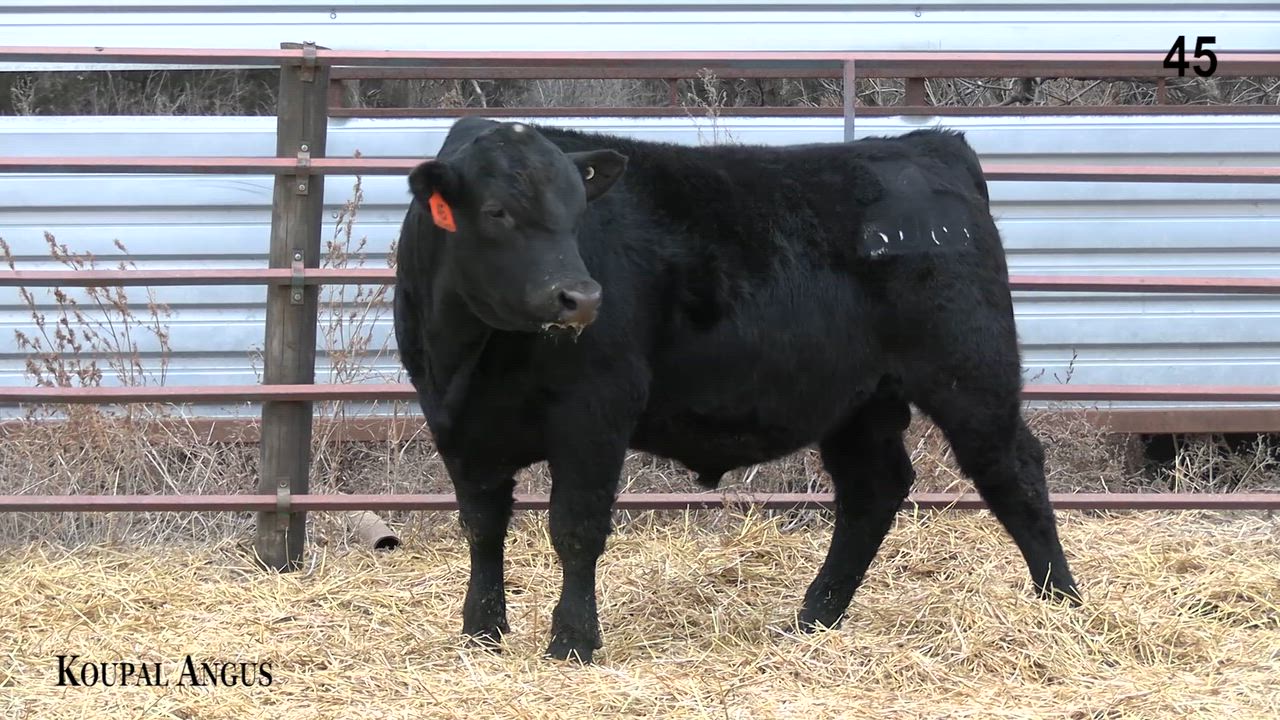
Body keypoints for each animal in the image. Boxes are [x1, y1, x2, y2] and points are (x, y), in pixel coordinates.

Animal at [392, 116, 1082, 663]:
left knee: (1014, 469)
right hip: (859, 401)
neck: (472, 356)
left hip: (969, 371)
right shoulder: (456, 426)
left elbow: (576, 526)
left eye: (576, 213)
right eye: (496, 212)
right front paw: (481, 634)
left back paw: (1063, 602)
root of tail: (930, 144)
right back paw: (813, 618)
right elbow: (483, 527)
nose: (581, 297)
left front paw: (572, 644)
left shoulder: (595, 411)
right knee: (874, 490)